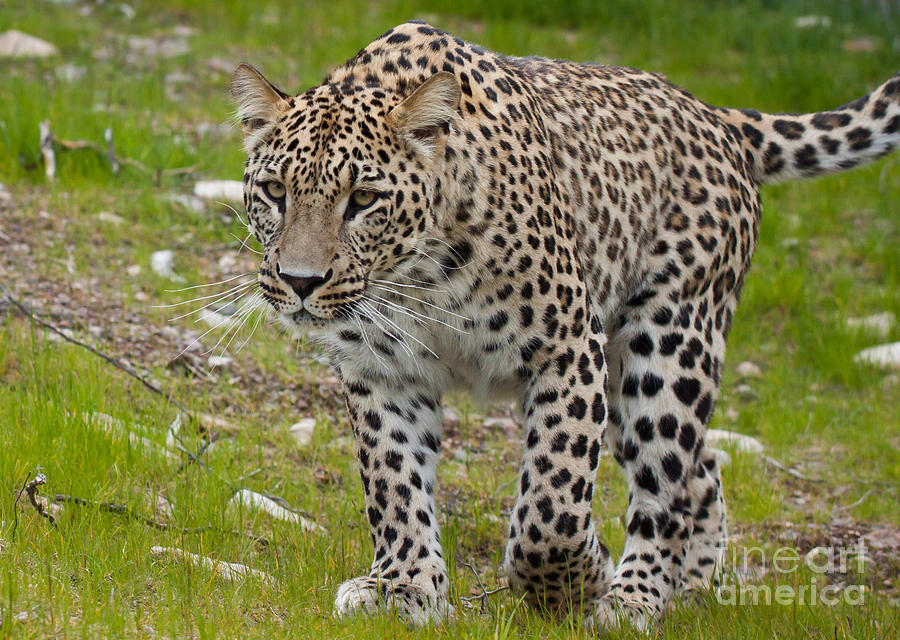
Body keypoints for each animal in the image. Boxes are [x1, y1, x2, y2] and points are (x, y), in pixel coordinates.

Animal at [229, 21, 900, 630]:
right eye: (274, 191)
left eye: (363, 200)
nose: (299, 281)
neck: (417, 273)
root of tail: (715, 115)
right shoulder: (382, 369)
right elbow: (394, 484)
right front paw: (406, 587)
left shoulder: (569, 349)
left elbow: (552, 501)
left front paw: (576, 582)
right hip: (630, 381)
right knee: (700, 470)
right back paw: (690, 587)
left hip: (666, 345)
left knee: (664, 484)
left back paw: (636, 596)